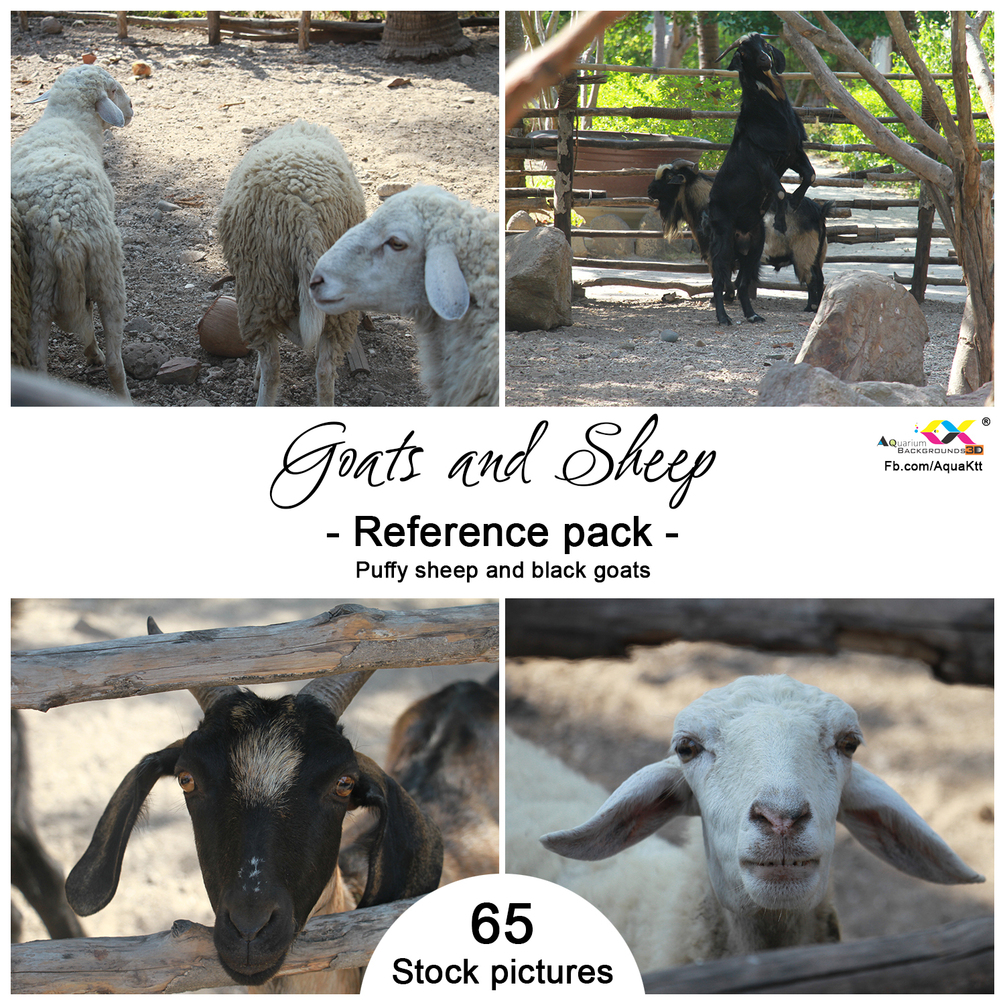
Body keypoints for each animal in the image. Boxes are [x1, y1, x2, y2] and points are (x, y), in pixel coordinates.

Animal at [10, 65, 134, 400]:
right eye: (114, 89)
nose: (131, 110)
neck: (67, 120)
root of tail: (65, 238)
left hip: (39, 292)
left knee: (38, 363)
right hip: (108, 277)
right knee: (115, 362)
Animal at [216, 120, 366, 406]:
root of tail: (305, 219)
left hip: (260, 286)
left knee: (272, 364)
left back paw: (262, 396)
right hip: (337, 309)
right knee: (326, 369)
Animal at [648, 159, 832, 312]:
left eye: (668, 177)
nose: (649, 190)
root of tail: (819, 211)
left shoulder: (714, 252)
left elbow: (721, 274)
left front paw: (723, 298)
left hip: (803, 254)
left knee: (811, 278)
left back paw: (810, 307)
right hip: (818, 255)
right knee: (820, 278)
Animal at [707, 33, 817, 325]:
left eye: (765, 45)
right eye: (744, 52)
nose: (766, 60)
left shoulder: (793, 152)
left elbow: (810, 175)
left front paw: (796, 201)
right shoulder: (761, 161)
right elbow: (777, 190)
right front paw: (780, 220)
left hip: (754, 248)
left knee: (743, 282)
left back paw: (752, 315)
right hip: (723, 241)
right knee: (719, 279)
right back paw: (724, 318)